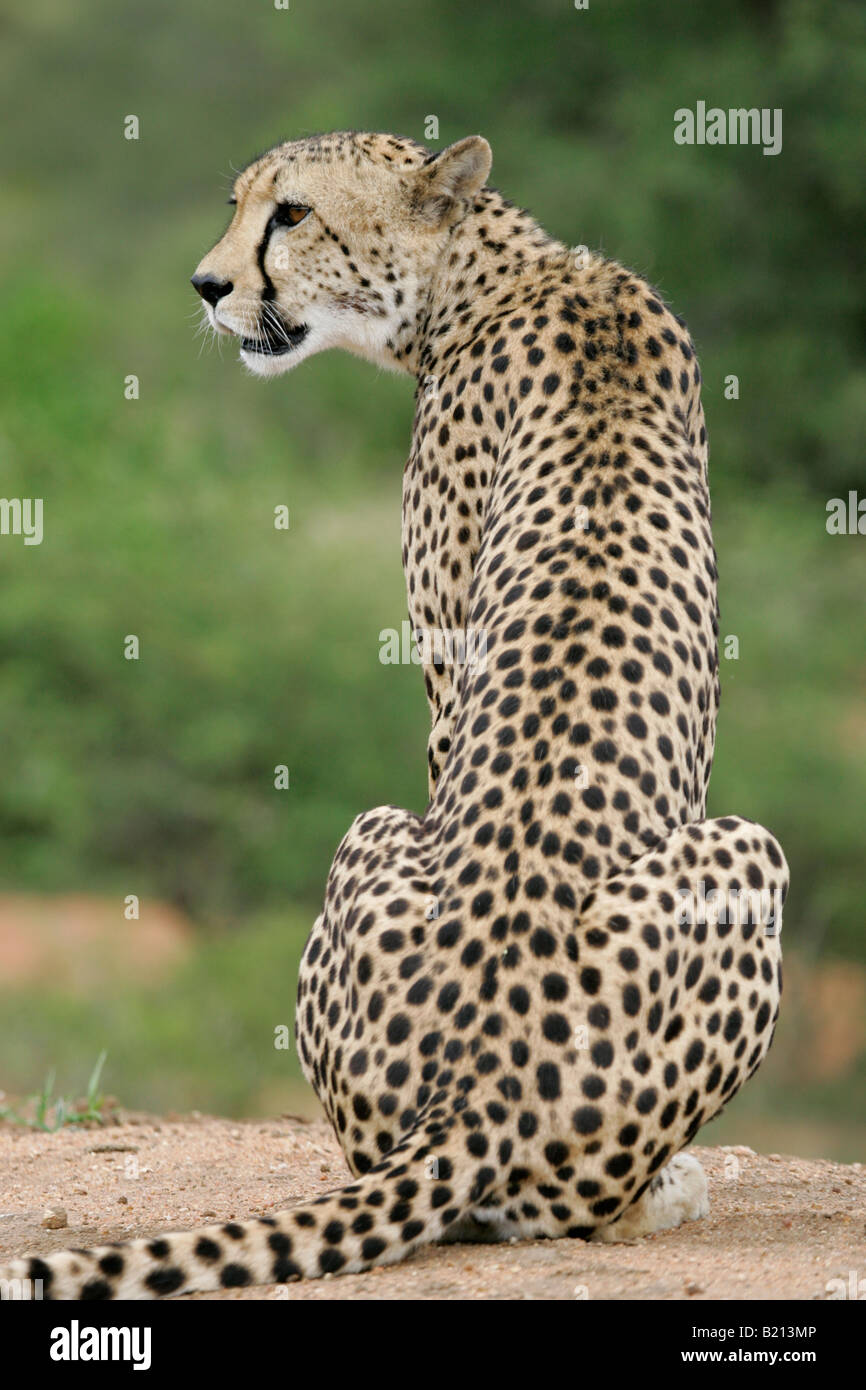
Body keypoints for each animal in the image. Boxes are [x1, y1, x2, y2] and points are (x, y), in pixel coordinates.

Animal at [0, 131, 788, 1299]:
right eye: (237, 205)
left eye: (292, 213)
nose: (207, 285)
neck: (499, 271)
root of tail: (472, 1091)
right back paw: (671, 1184)